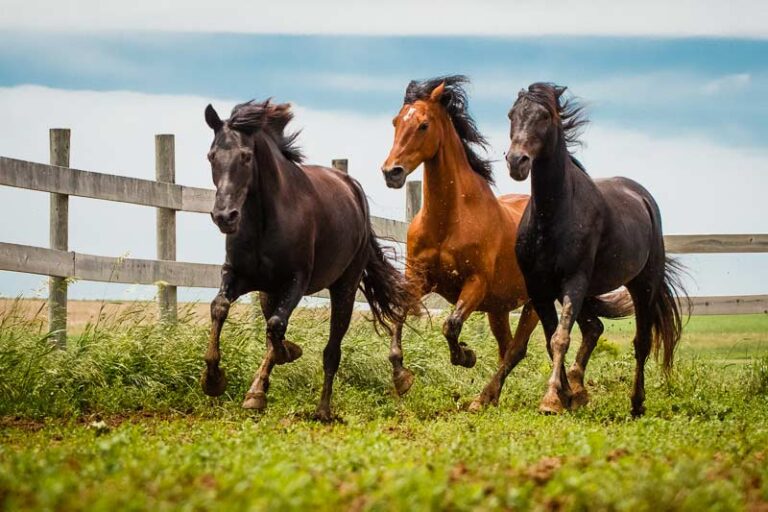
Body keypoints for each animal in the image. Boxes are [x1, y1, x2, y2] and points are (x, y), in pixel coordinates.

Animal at [200, 99, 414, 421]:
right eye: (212, 156)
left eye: (246, 156)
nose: (225, 216)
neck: (264, 221)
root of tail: (352, 188)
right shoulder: (238, 275)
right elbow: (220, 308)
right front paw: (213, 380)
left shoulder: (296, 280)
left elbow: (277, 327)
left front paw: (287, 356)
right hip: (268, 291)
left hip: (344, 287)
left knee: (331, 350)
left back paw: (324, 409)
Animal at [381, 76, 632, 410]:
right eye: (396, 121)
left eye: (423, 125)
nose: (391, 172)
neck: (449, 220)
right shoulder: (418, 278)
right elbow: (398, 314)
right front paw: (401, 377)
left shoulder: (475, 284)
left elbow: (451, 325)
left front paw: (466, 356)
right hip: (501, 308)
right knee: (551, 337)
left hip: (535, 302)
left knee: (519, 348)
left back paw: (514, 396)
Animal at [506, 82, 687, 416]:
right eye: (512, 114)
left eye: (546, 116)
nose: (516, 161)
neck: (552, 216)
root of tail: (643, 197)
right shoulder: (539, 288)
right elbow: (551, 338)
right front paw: (565, 394)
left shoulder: (574, 282)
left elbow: (561, 338)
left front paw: (552, 399)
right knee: (595, 327)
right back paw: (579, 388)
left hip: (642, 285)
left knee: (641, 342)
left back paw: (636, 403)